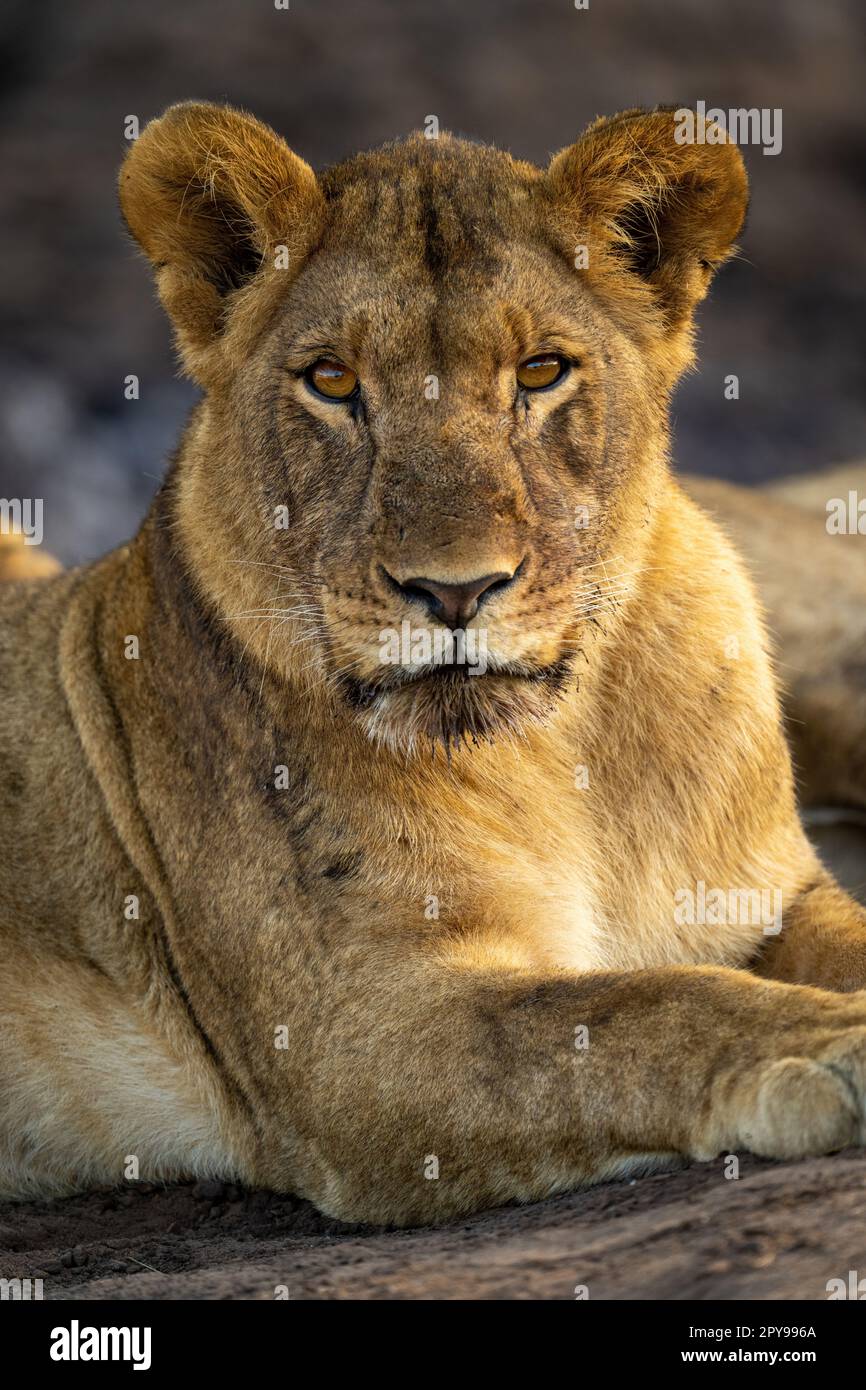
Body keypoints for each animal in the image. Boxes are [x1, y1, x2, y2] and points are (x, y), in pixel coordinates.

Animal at [1, 103, 865, 1224]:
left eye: (540, 371)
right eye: (332, 382)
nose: (454, 592)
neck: (560, 756)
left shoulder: (764, 895)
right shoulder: (359, 1031)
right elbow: (637, 1008)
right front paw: (835, 1043)